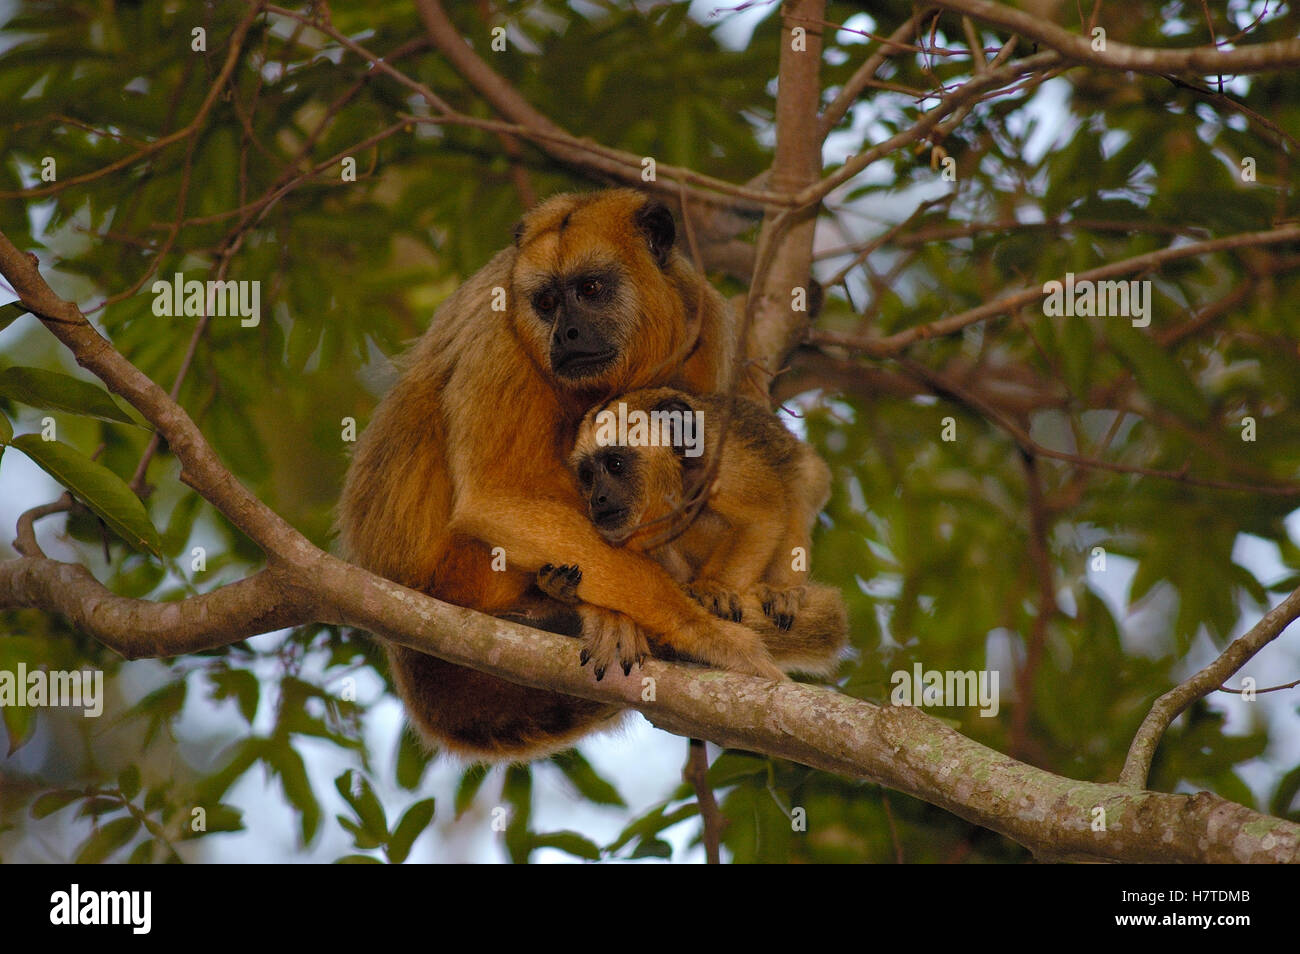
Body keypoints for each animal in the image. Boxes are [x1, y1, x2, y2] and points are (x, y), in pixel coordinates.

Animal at [338, 189, 788, 762]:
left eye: (590, 289)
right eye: (547, 302)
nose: (566, 333)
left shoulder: (705, 323)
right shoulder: (501, 327)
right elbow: (495, 499)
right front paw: (707, 635)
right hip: (453, 574)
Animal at [536, 387, 846, 678]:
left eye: (615, 464)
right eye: (588, 476)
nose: (597, 499)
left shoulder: (725, 460)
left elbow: (763, 514)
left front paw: (712, 588)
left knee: (801, 484)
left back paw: (781, 590)